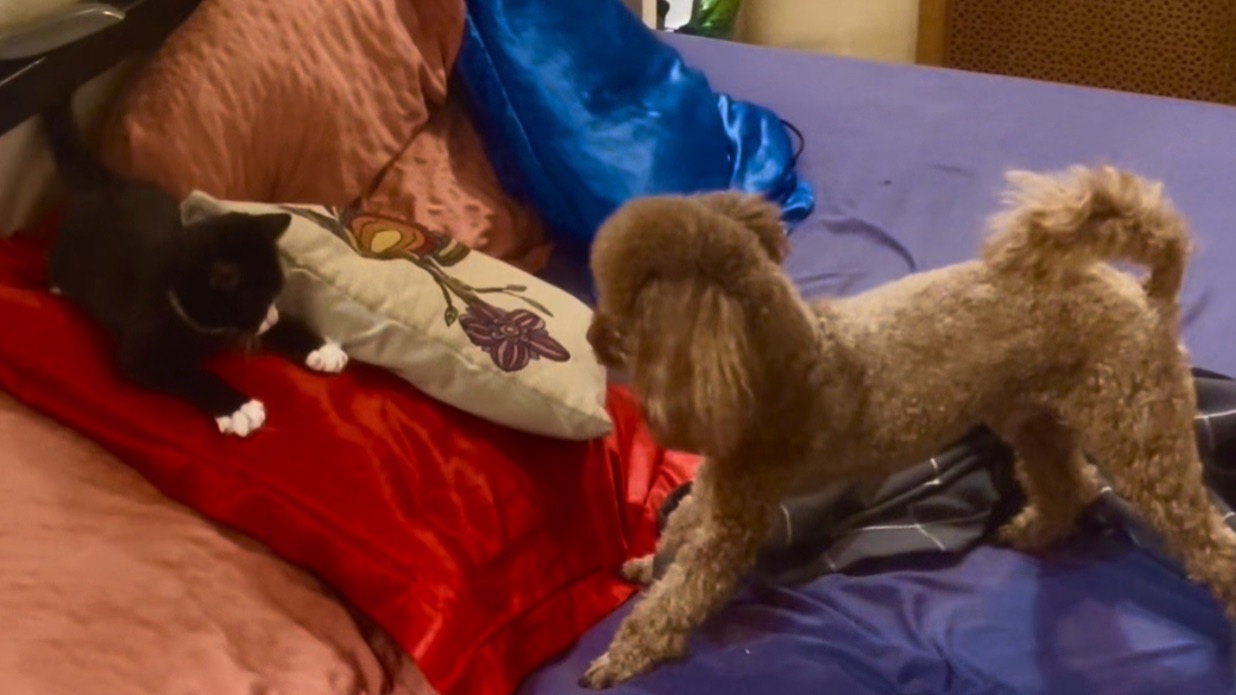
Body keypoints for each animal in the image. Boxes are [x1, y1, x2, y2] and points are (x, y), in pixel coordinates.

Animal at [42, 99, 348, 437]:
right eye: (259, 299)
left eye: (276, 291)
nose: (272, 317)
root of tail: (102, 184)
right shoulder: (141, 353)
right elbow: (190, 375)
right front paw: (239, 408)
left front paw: (322, 348)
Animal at [579, 166, 1236, 688]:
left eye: (624, 308)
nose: (589, 336)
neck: (786, 353)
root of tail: (1148, 294)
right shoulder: (718, 487)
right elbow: (678, 527)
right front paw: (644, 565)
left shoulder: (736, 517)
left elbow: (680, 593)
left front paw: (624, 654)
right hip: (1033, 418)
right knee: (1070, 485)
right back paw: (1033, 531)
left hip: (1141, 432)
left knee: (1208, 540)